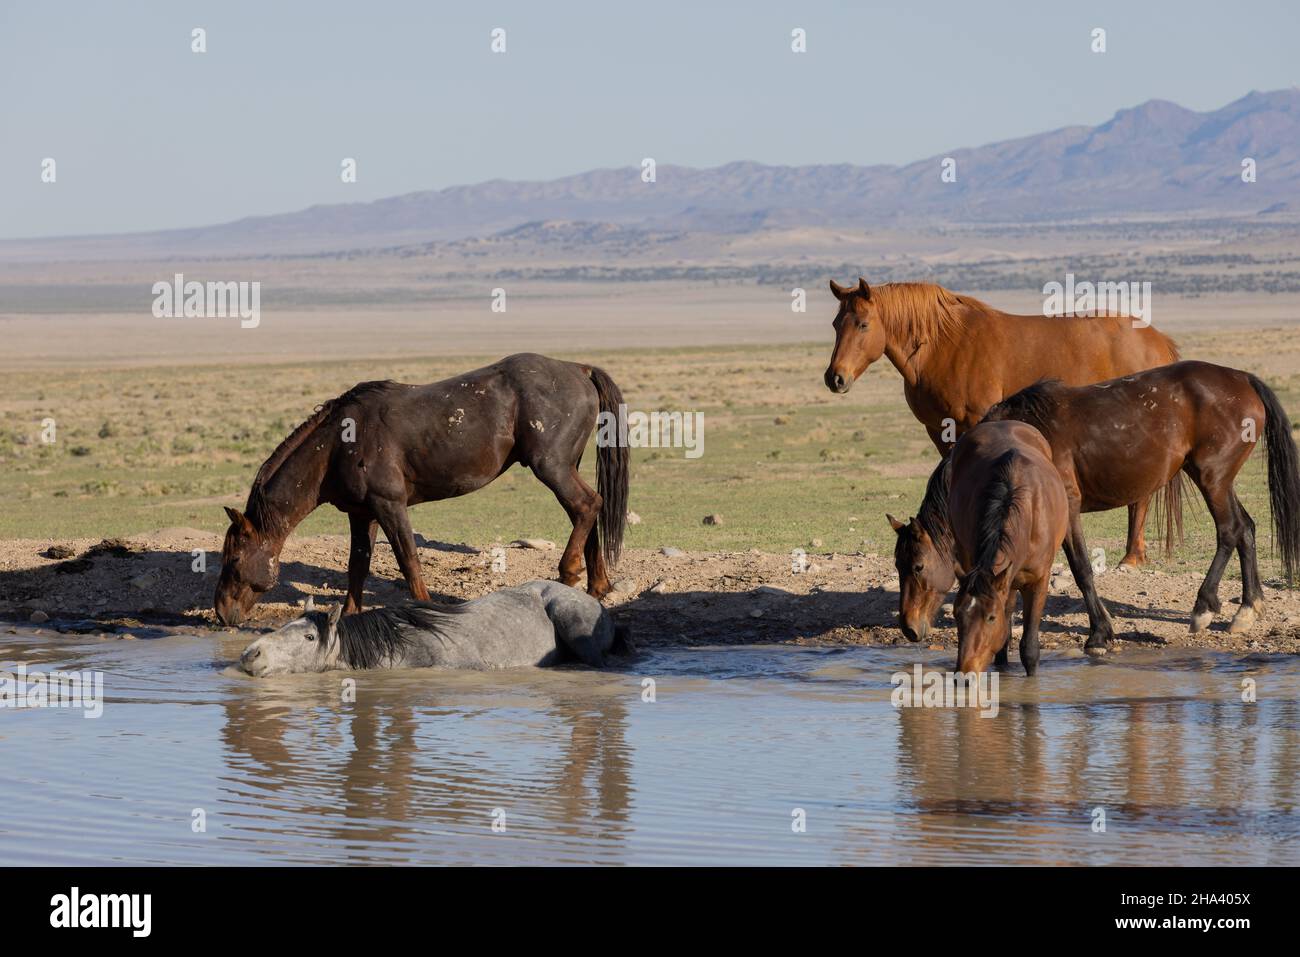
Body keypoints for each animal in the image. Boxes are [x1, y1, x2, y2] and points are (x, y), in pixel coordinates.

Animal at [215, 353, 630, 625]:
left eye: (233, 560)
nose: (220, 613)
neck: (338, 445)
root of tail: (578, 369)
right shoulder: (362, 514)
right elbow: (357, 566)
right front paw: (349, 615)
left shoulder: (390, 505)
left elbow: (408, 561)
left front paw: (426, 612)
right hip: (566, 466)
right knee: (587, 511)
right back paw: (596, 586)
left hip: (551, 466)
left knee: (587, 505)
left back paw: (568, 573)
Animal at [823, 278, 1179, 568]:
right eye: (836, 324)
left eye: (863, 324)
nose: (835, 378)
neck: (944, 346)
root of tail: (1157, 340)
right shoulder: (939, 431)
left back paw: (1131, 557)